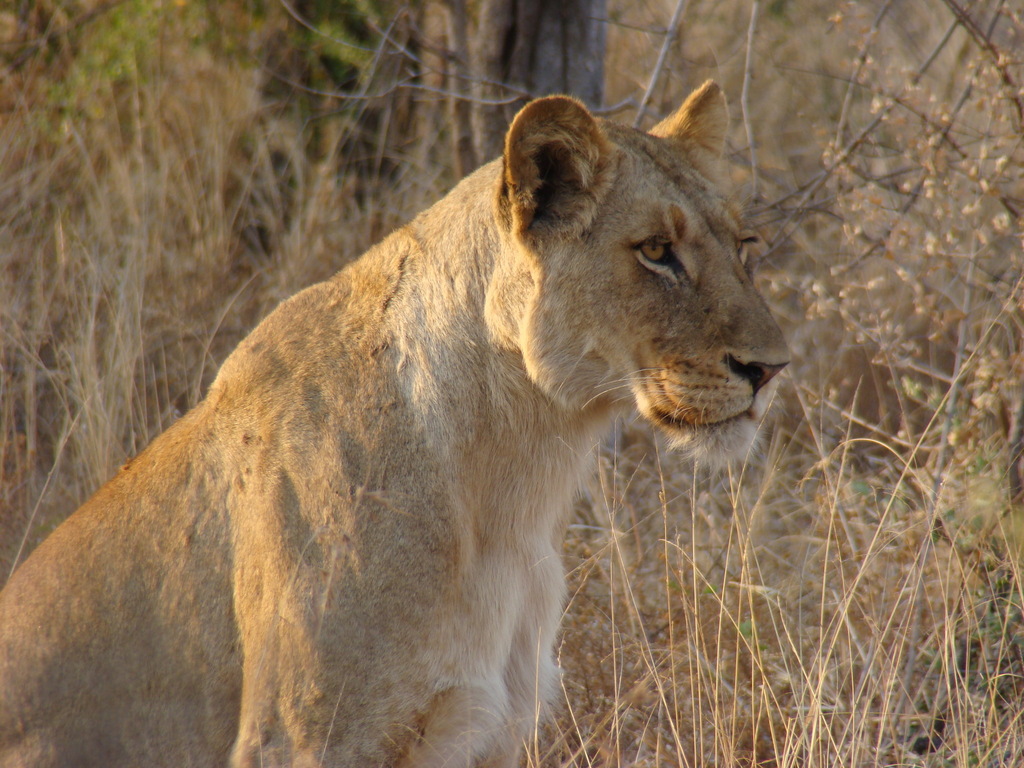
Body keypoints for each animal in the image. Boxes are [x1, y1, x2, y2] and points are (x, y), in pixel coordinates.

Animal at [0, 81, 788, 767]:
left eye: (746, 246)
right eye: (656, 251)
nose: (772, 369)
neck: (516, 476)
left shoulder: (493, 729)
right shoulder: (302, 737)